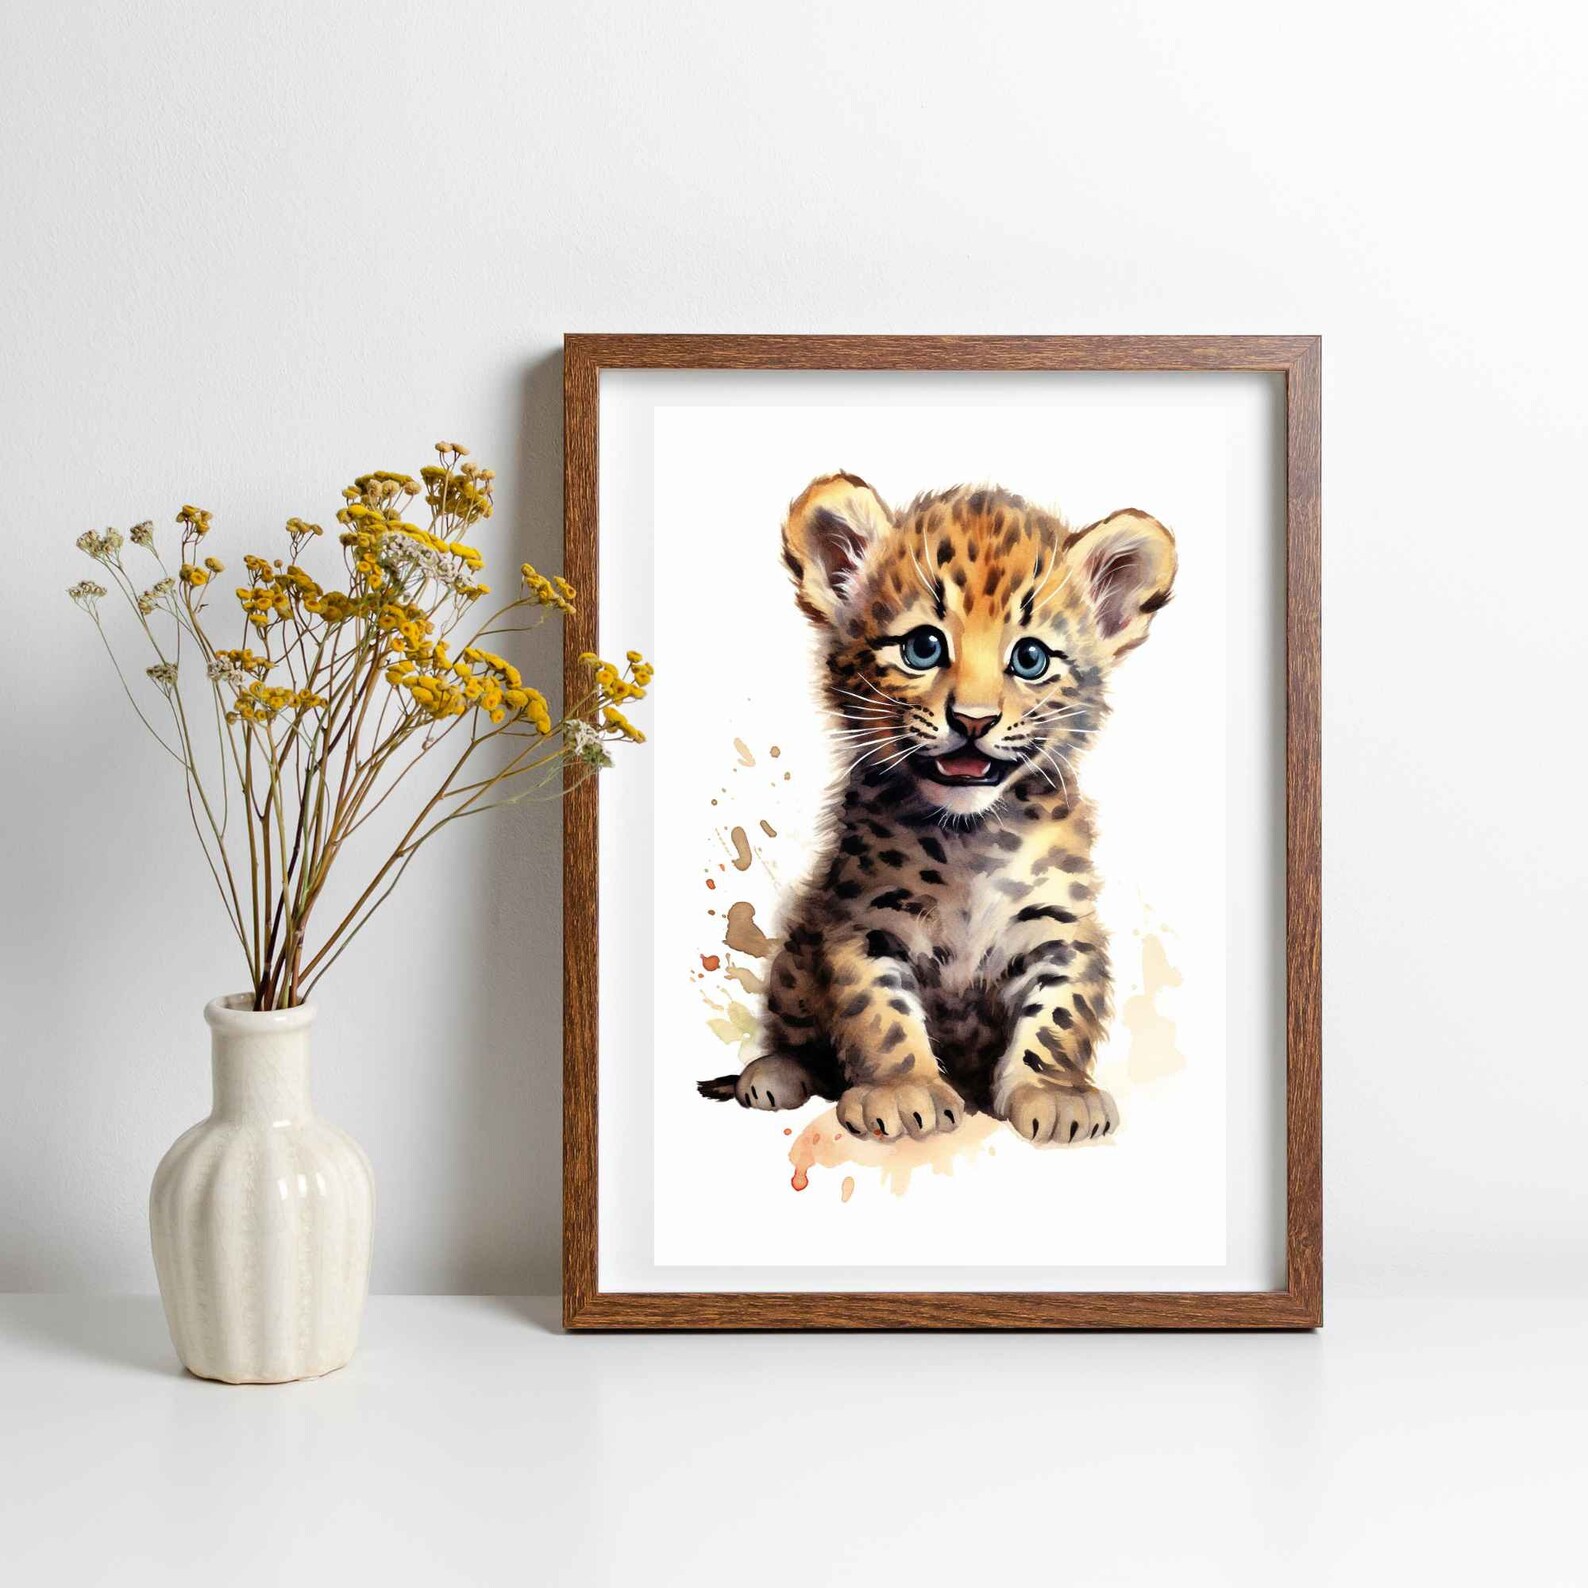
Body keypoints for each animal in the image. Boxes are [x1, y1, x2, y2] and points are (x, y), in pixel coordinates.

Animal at [698, 472, 1176, 1146]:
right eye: (923, 647)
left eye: (1030, 658)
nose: (973, 721)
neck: (972, 834)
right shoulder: (862, 923)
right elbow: (879, 1012)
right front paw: (905, 1093)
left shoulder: (1060, 927)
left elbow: (1060, 1012)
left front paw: (1056, 1094)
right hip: (796, 952)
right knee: (797, 1030)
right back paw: (774, 1072)